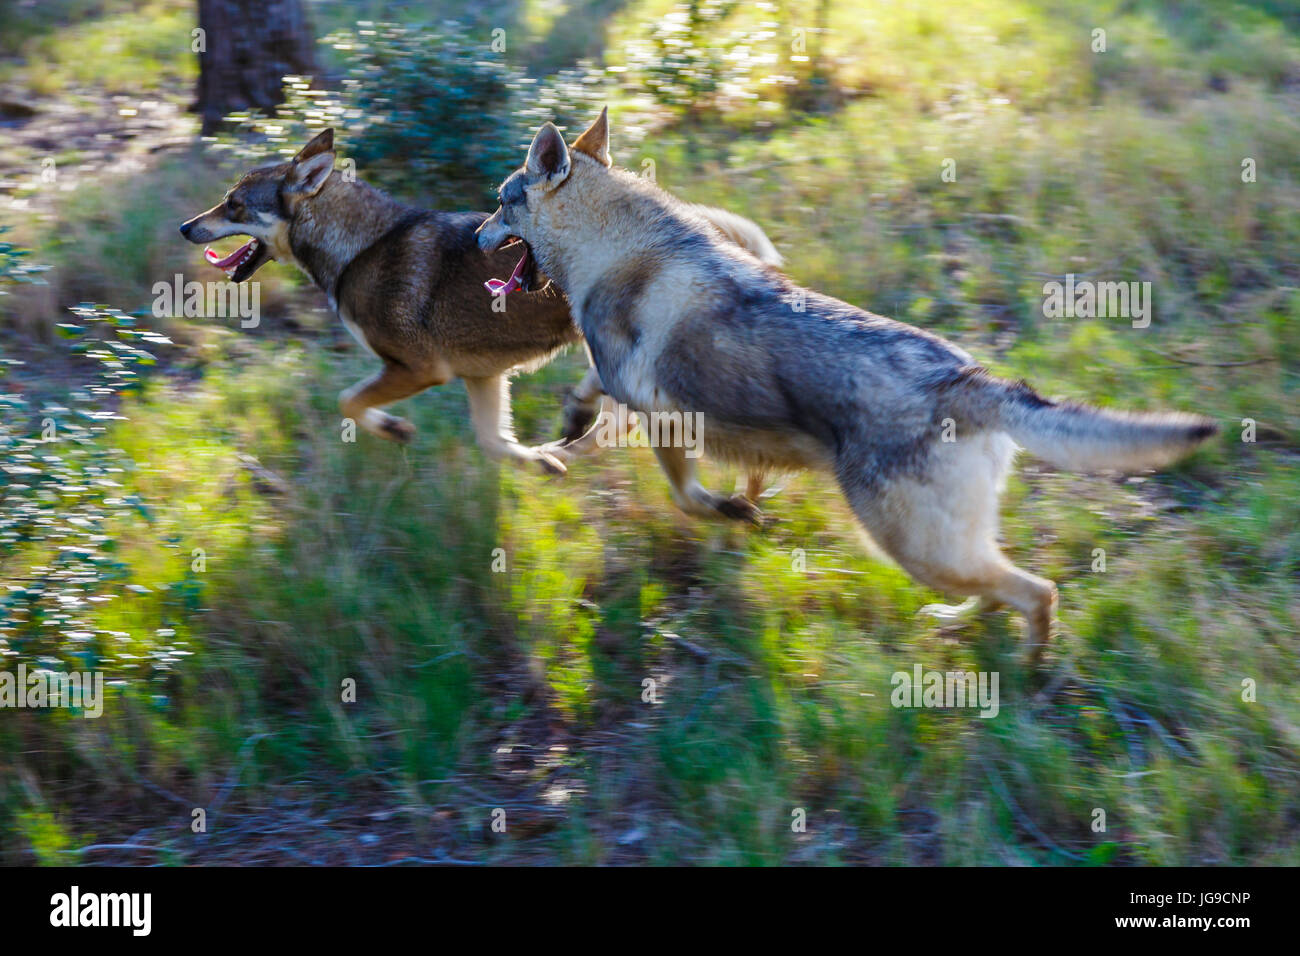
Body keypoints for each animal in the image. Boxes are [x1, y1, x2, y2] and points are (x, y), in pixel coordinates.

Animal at [179, 128, 781, 485]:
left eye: (234, 205)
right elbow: (494, 443)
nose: (185, 227)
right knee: (614, 419)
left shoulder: (419, 369)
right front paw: (538, 461)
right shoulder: (482, 377)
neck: (363, 247)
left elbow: (348, 401)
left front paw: (392, 428)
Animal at [476, 108, 1219, 660]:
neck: (620, 247)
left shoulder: (661, 417)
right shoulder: (649, 404)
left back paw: (1033, 673)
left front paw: (732, 510)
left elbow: (687, 494)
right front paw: (576, 426)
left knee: (1038, 592)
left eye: (500, 204)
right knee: (1001, 589)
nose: (477, 232)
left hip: (911, 546)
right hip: (940, 546)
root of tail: (970, 380)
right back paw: (957, 625)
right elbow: (598, 399)